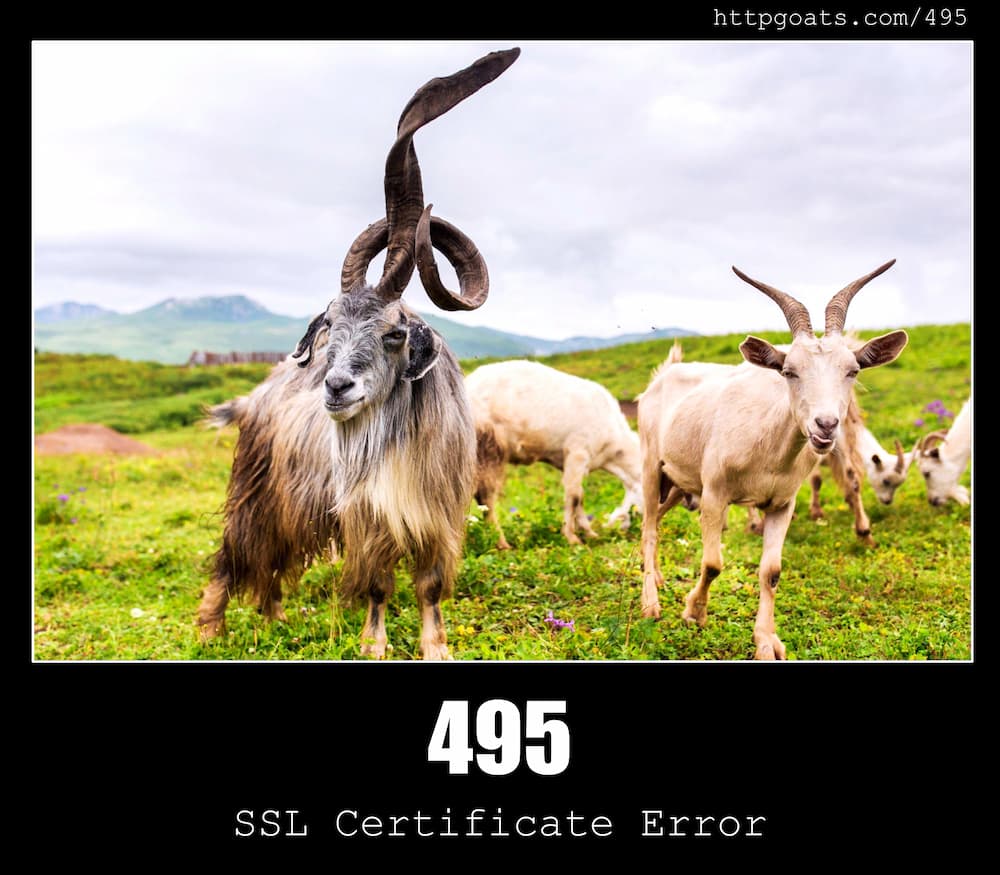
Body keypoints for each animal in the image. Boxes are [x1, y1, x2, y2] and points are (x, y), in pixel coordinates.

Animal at [197, 48, 521, 659]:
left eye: (394, 333)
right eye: (330, 327)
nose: (336, 388)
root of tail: (255, 397)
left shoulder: (437, 519)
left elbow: (430, 587)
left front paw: (435, 647)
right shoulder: (367, 520)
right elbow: (376, 586)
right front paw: (374, 646)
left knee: (275, 568)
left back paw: (275, 620)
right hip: (256, 495)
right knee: (234, 558)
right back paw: (210, 630)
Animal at [465, 359, 643, 548]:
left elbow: (580, 497)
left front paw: (589, 533)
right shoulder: (577, 451)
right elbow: (574, 496)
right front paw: (572, 537)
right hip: (489, 446)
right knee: (485, 495)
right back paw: (500, 542)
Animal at [637, 261, 908, 659]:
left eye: (853, 370)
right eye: (789, 371)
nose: (826, 425)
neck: (766, 447)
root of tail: (663, 375)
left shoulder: (782, 503)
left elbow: (772, 571)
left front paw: (766, 642)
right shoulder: (714, 494)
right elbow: (713, 563)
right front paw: (694, 613)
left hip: (679, 481)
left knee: (655, 519)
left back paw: (654, 576)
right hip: (651, 466)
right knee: (649, 528)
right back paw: (650, 603)